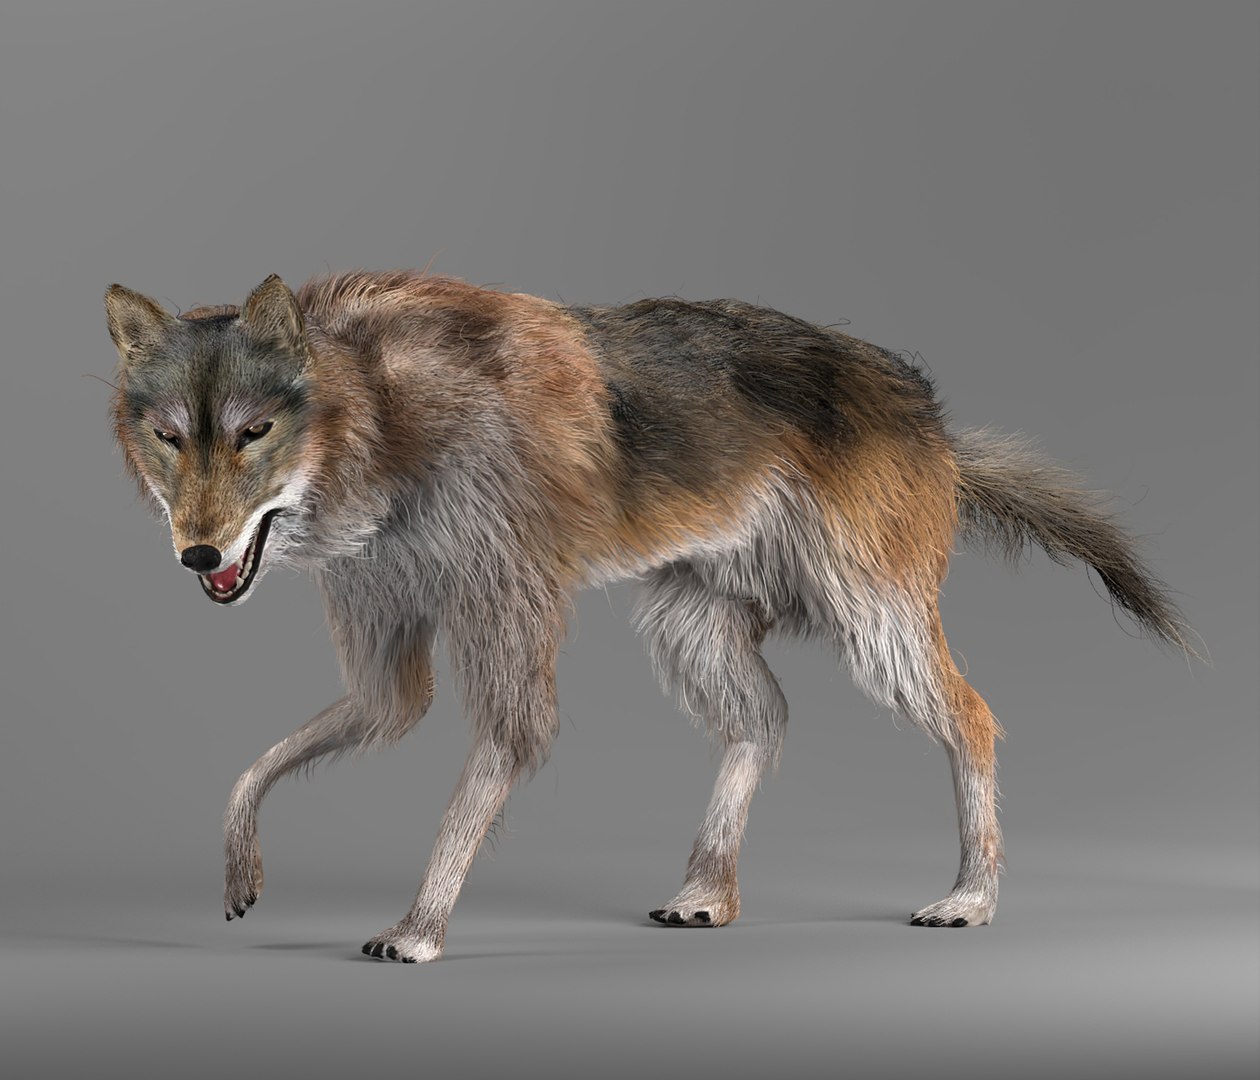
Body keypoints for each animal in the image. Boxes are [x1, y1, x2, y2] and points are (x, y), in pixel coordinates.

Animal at [105, 270, 1193, 962]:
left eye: (253, 432)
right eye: (170, 439)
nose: (198, 554)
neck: (388, 414)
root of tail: (933, 415)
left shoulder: (508, 614)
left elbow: (486, 772)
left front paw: (419, 928)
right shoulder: (384, 664)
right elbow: (267, 762)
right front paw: (241, 868)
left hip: (870, 619)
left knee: (972, 719)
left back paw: (971, 897)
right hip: (689, 622)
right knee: (765, 721)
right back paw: (709, 890)